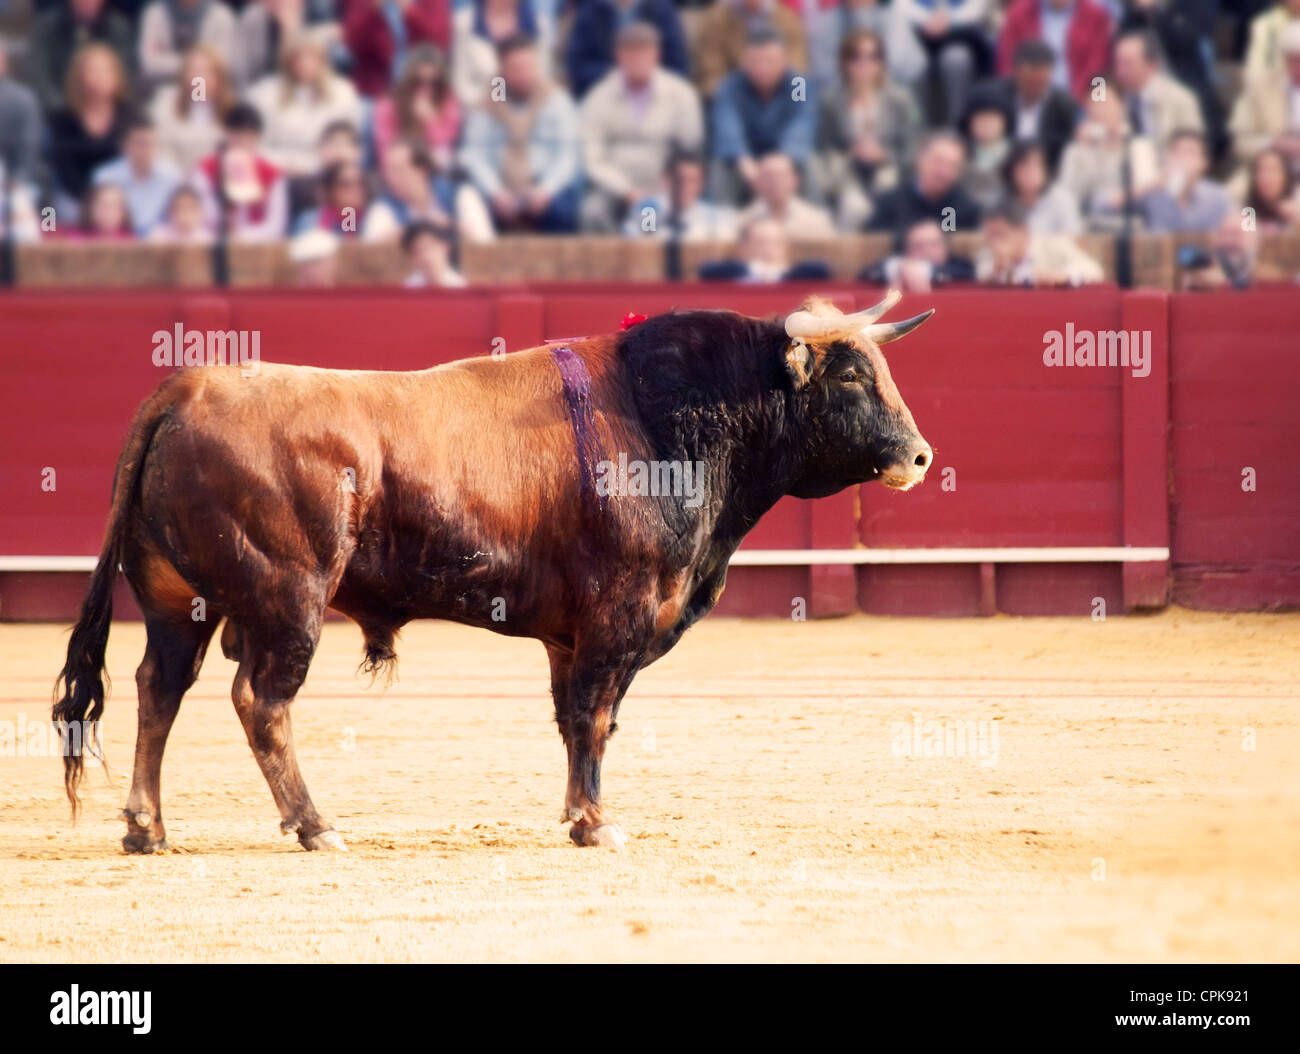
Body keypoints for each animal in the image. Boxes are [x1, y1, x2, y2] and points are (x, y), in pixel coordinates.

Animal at [53, 290, 935, 853]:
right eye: (850, 375)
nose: (922, 456)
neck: (664, 415)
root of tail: (186, 387)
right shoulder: (619, 614)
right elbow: (596, 717)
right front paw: (595, 824)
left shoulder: (569, 637)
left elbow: (572, 719)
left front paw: (577, 815)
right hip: (287, 599)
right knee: (260, 701)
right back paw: (314, 826)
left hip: (179, 603)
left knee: (158, 689)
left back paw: (146, 827)